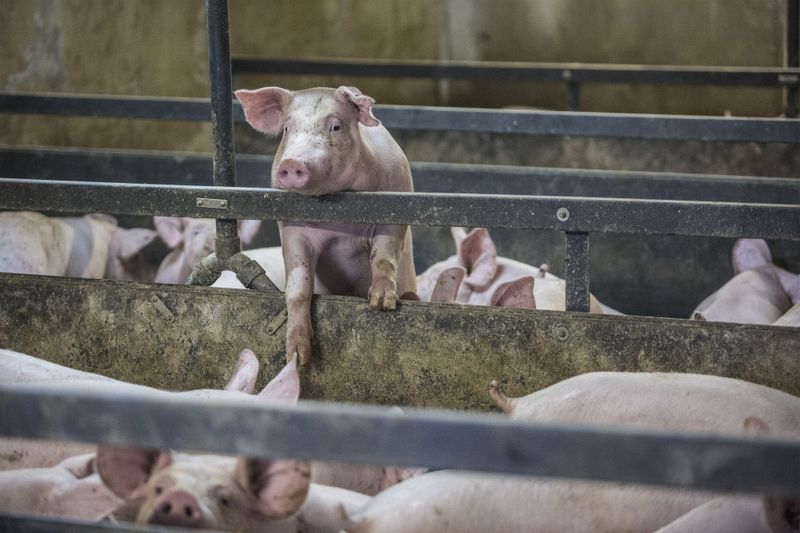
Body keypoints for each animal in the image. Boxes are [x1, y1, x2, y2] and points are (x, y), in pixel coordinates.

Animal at [236, 86, 416, 365]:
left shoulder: (396, 207)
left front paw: (382, 303)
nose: (292, 163)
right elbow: (298, 287)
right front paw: (297, 358)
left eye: (335, 127)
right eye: (287, 129)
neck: (339, 227)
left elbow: (383, 258)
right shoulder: (292, 228)